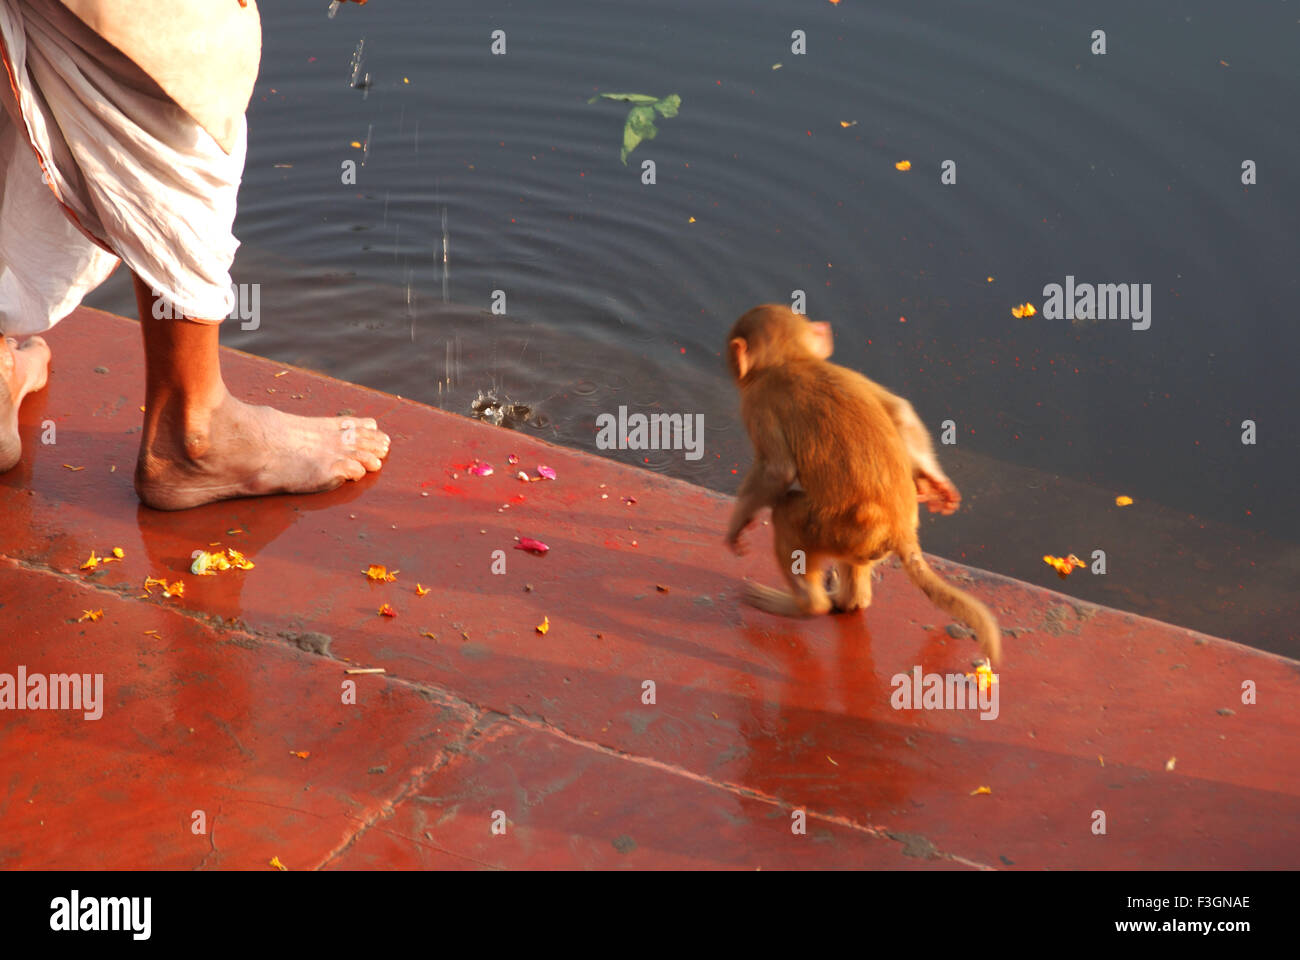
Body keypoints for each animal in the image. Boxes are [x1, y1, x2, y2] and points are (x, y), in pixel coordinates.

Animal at [724, 304, 1001, 667]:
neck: (793, 359)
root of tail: (901, 530)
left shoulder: (758, 403)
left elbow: (777, 472)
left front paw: (737, 525)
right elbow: (899, 410)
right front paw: (935, 482)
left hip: (837, 528)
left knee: (786, 514)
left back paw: (808, 605)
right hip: (862, 541)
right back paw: (848, 601)